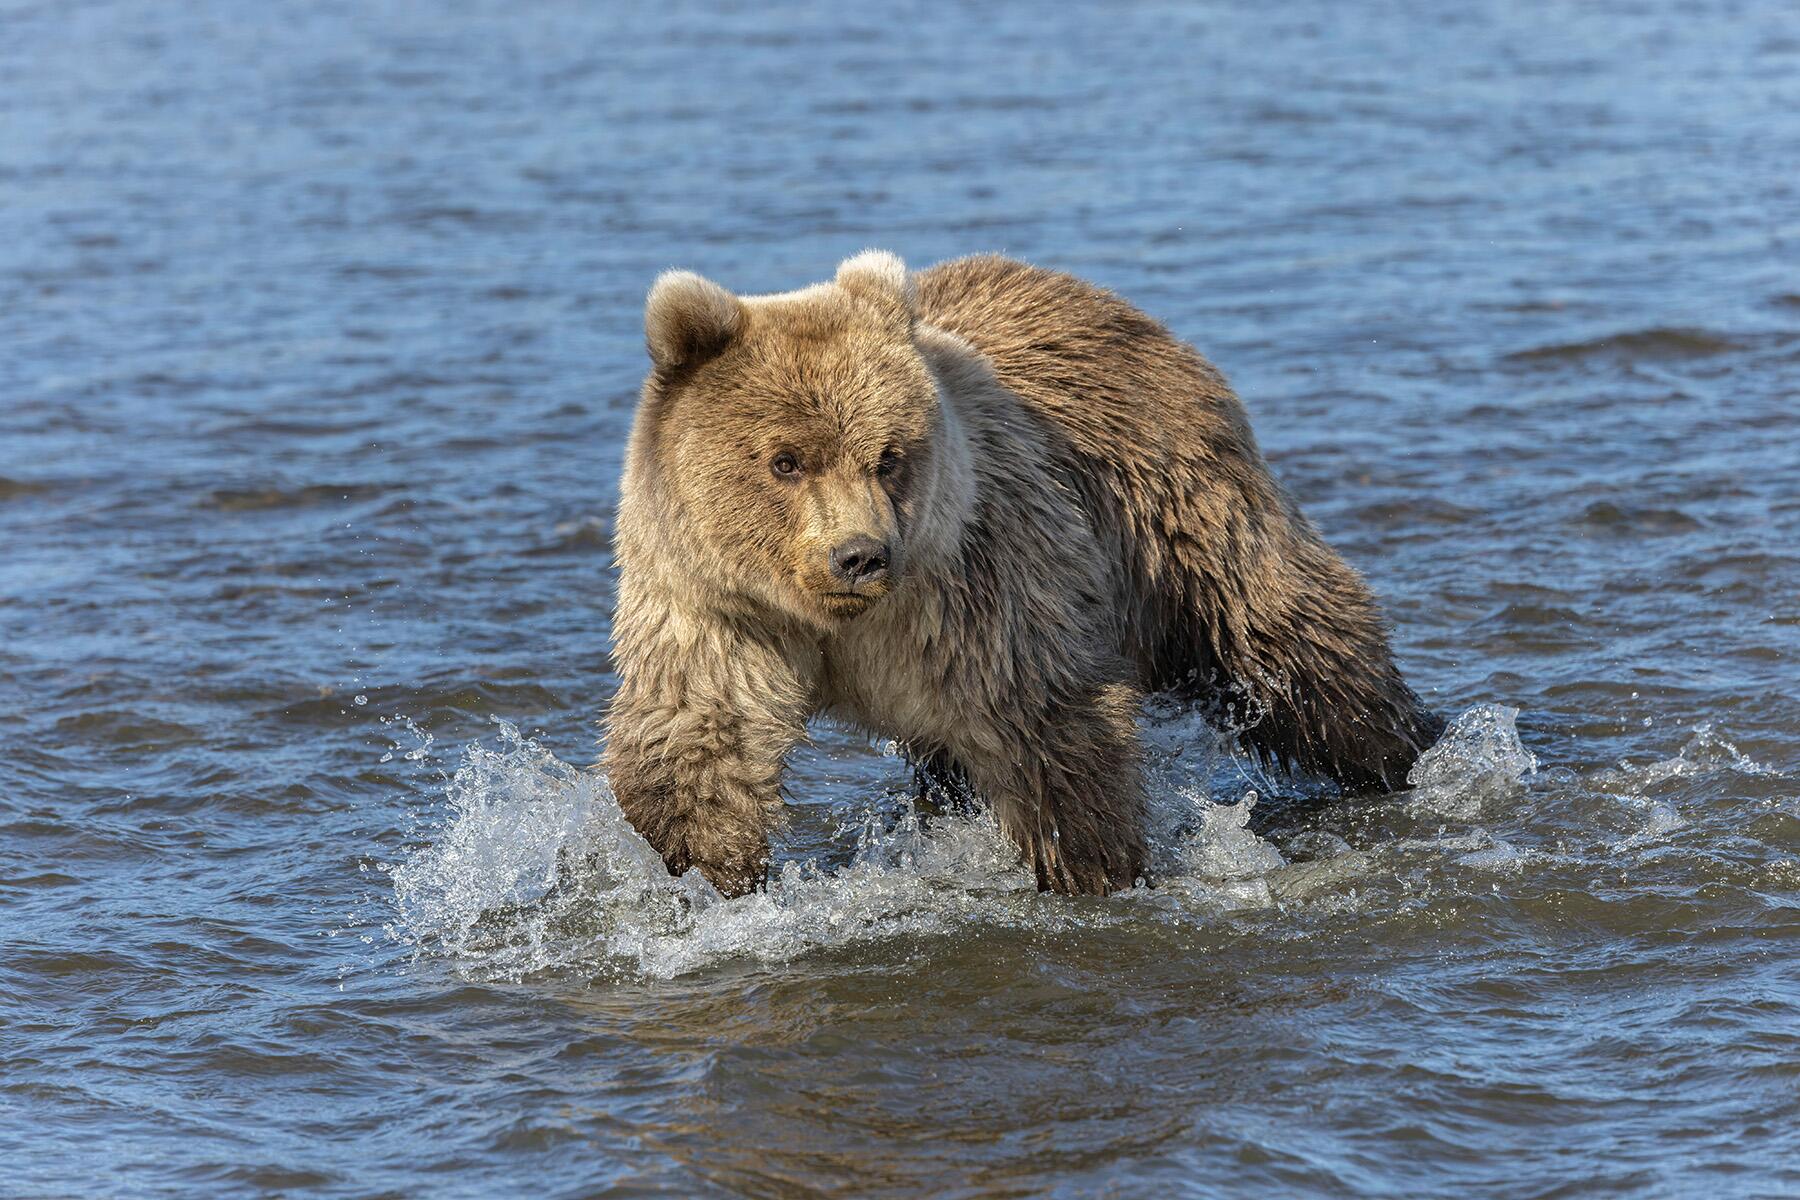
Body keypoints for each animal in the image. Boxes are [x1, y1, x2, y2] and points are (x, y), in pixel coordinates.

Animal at [600, 251, 1443, 897]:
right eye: (785, 460)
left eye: (889, 456)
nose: (860, 554)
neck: (844, 623)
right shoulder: (720, 607)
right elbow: (701, 736)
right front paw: (715, 872)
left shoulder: (977, 588)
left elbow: (1048, 727)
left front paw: (1092, 868)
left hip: (1185, 515)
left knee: (1298, 654)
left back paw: (1410, 750)